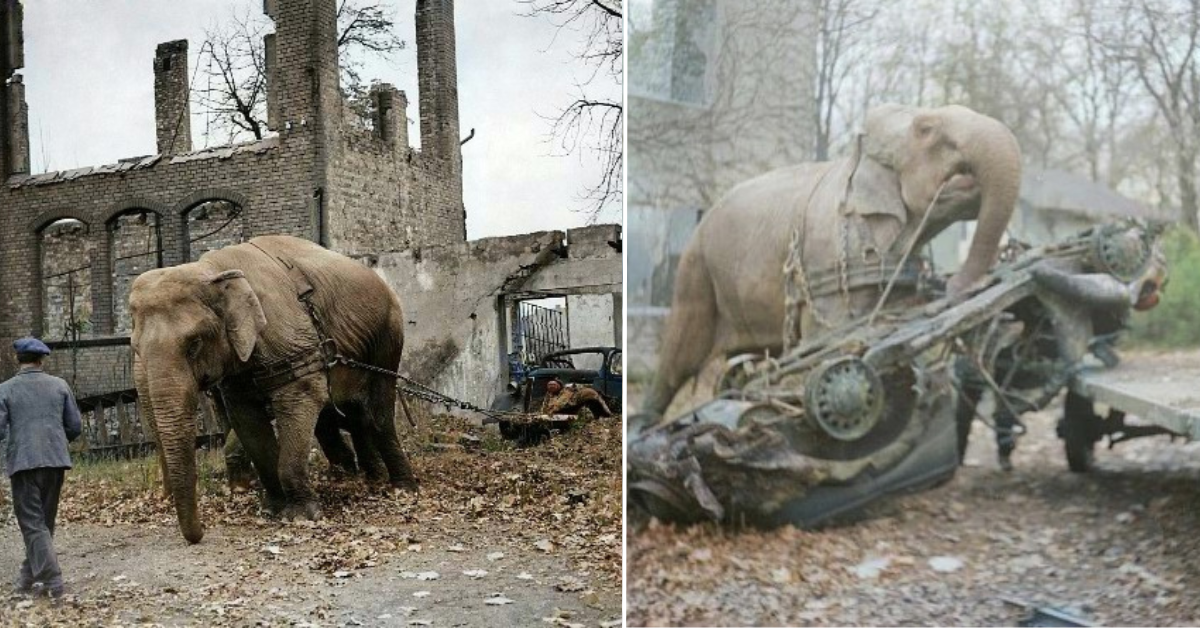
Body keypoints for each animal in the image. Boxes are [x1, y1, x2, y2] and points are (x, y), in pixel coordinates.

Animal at [130, 235, 418, 544]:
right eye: (135, 347)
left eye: (194, 344)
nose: (198, 535)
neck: (214, 269)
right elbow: (248, 420)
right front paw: (274, 510)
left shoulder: (291, 343)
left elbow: (299, 397)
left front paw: (302, 516)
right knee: (345, 418)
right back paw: (357, 478)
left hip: (388, 336)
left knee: (377, 414)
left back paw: (401, 489)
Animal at [642, 104, 1022, 417]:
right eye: (926, 128)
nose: (954, 285)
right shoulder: (830, 253)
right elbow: (831, 344)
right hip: (696, 270)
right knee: (681, 354)